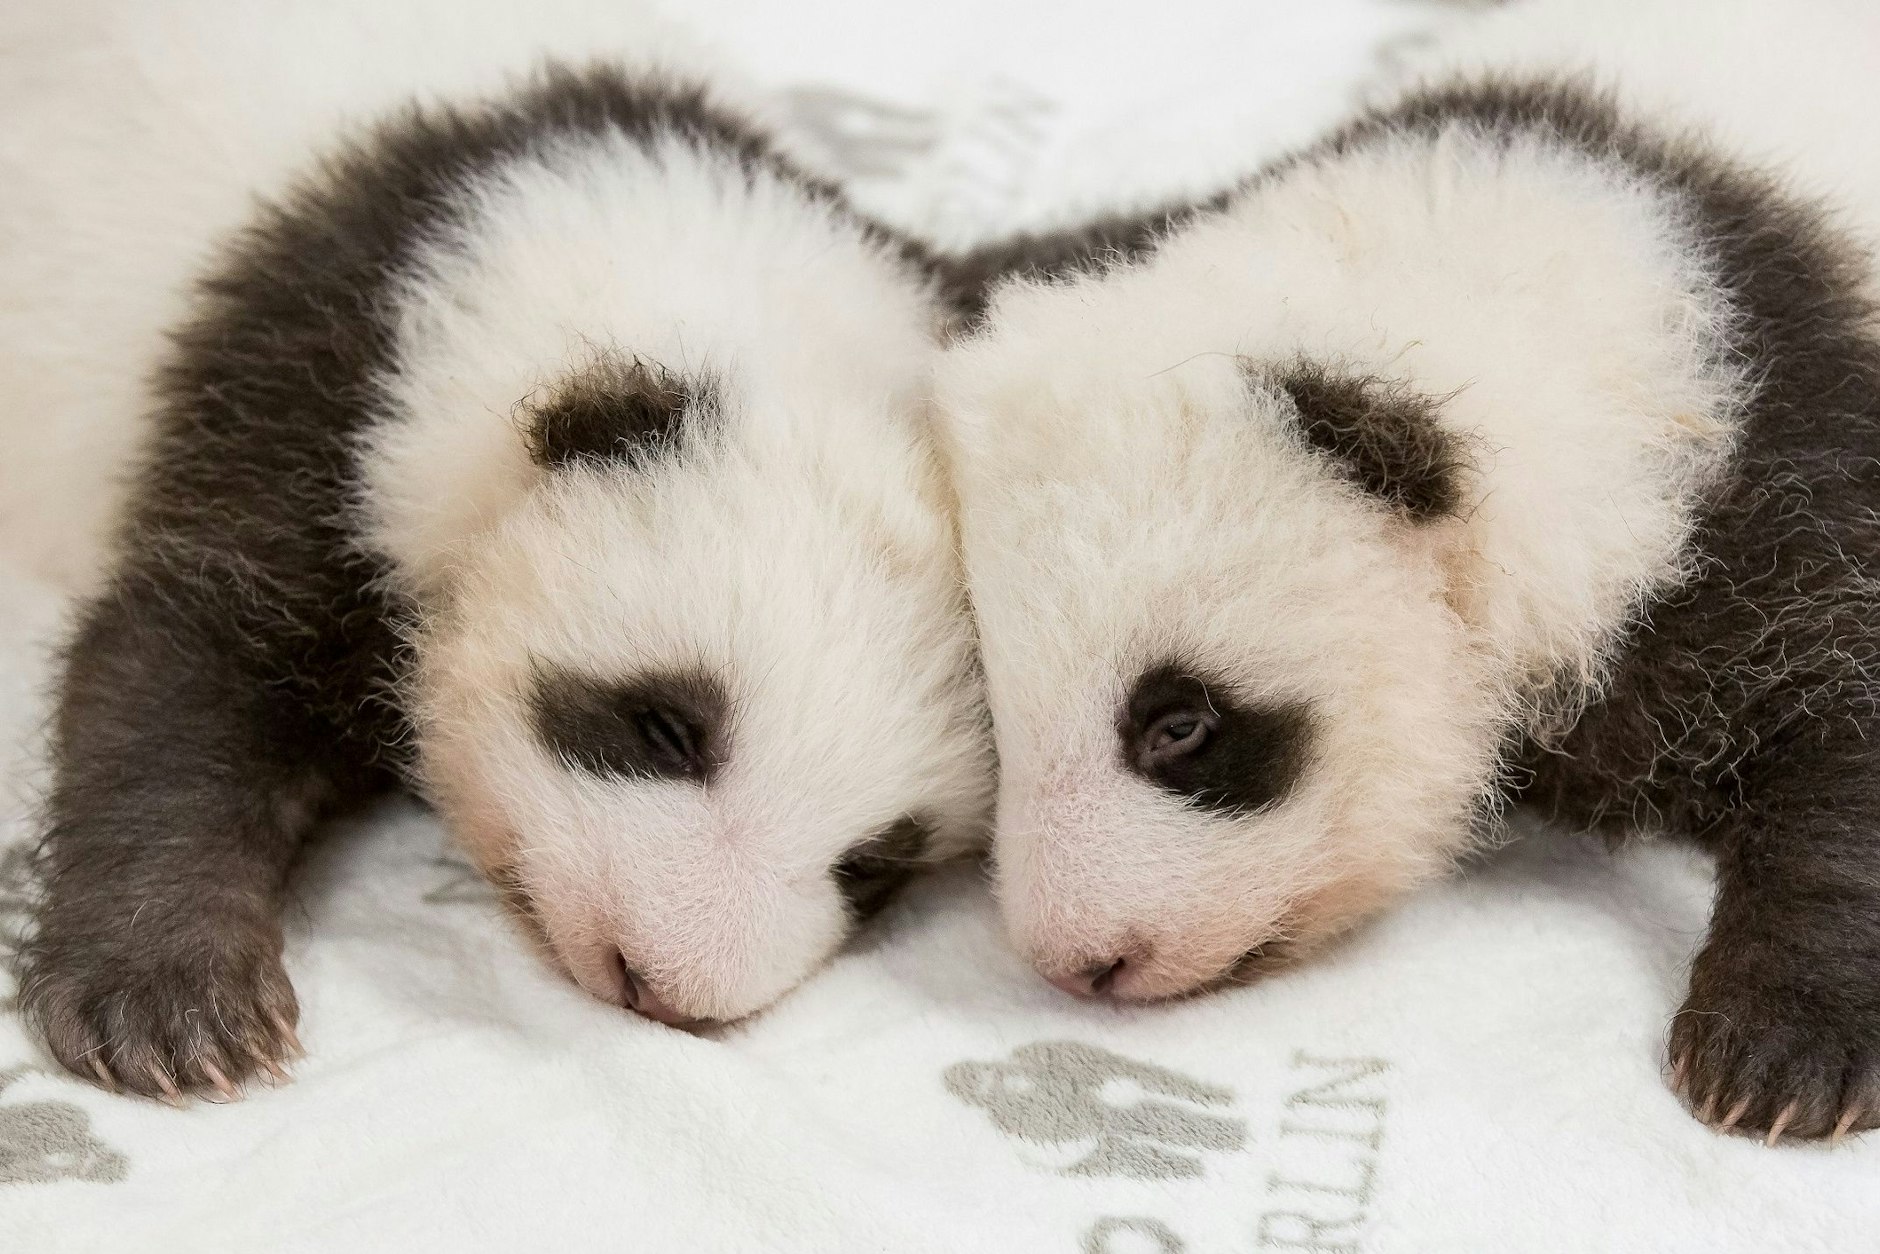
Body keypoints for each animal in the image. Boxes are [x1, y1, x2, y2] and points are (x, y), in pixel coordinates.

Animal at [17, 63, 995, 1101]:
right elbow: (179, 661)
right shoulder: (311, 399)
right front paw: (171, 1003)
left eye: (873, 865)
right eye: (665, 728)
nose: (662, 984)